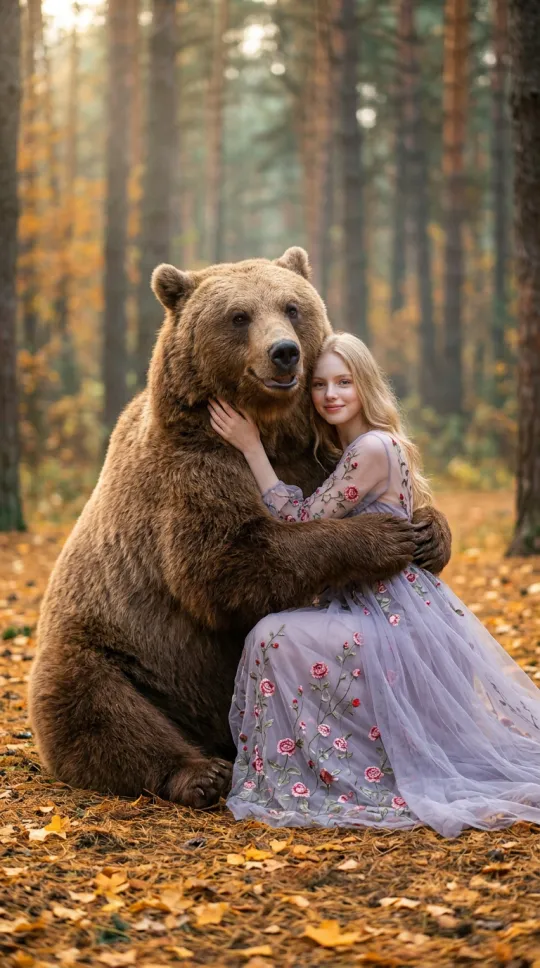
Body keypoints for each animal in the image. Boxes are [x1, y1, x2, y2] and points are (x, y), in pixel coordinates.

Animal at [28, 247, 451, 807]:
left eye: (292, 306)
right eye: (238, 316)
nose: (284, 353)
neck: (273, 434)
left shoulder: (314, 457)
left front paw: (432, 532)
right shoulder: (191, 470)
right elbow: (226, 564)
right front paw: (382, 536)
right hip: (111, 646)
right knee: (98, 709)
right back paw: (200, 773)